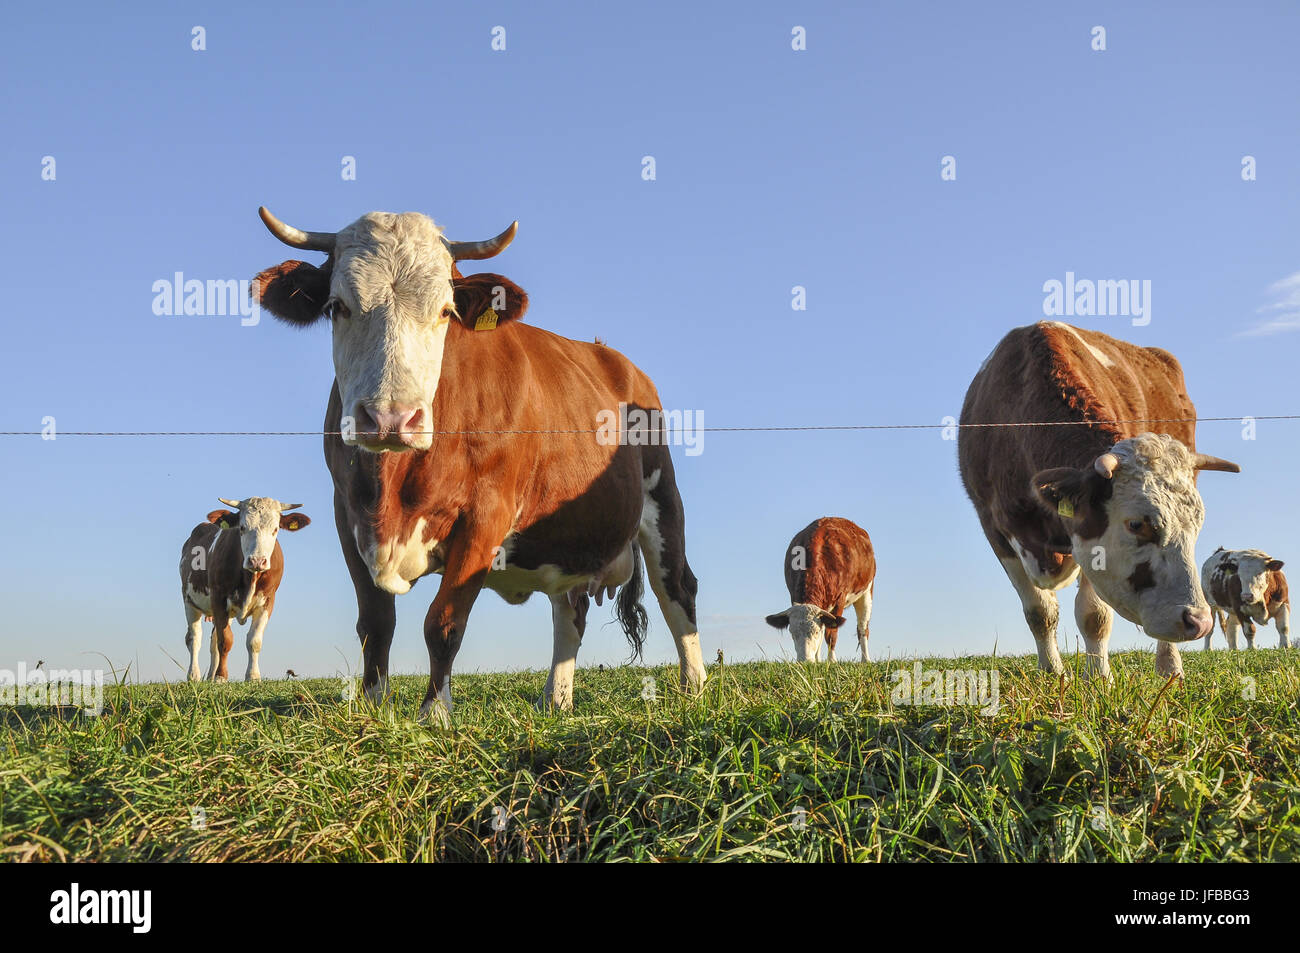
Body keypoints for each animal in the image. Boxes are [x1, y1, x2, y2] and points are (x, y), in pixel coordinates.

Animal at [179, 497, 311, 682]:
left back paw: (210, 676)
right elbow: (225, 641)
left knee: (212, 641)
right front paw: (221, 677)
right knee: (194, 638)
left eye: (275, 529)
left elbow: (254, 641)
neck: (251, 578)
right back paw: (194, 675)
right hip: (189, 600)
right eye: (242, 528)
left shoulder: (268, 601)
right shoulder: (218, 598)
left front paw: (253, 676)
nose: (257, 561)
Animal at [250, 207, 707, 722]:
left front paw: (435, 713)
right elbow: (375, 622)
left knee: (678, 589)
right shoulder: (346, 513)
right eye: (336, 307)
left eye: (445, 311)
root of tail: (612, 356)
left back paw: (694, 687)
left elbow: (444, 622)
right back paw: (556, 699)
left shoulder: (486, 514)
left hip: (661, 496)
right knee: (570, 613)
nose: (390, 418)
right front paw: (373, 705)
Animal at [764, 517, 876, 662]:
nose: (805, 661)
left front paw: (832, 661)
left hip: (867, 591)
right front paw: (819, 661)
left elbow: (831, 633)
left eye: (815, 632)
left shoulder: (839, 600)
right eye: (792, 632)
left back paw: (865, 659)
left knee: (862, 627)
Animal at [958, 321, 1240, 680]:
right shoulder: (994, 526)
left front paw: (1098, 677)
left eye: (1197, 525)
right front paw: (1052, 672)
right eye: (1136, 524)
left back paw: (1169, 666)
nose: (1199, 621)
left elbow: (1094, 615)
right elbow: (1039, 611)